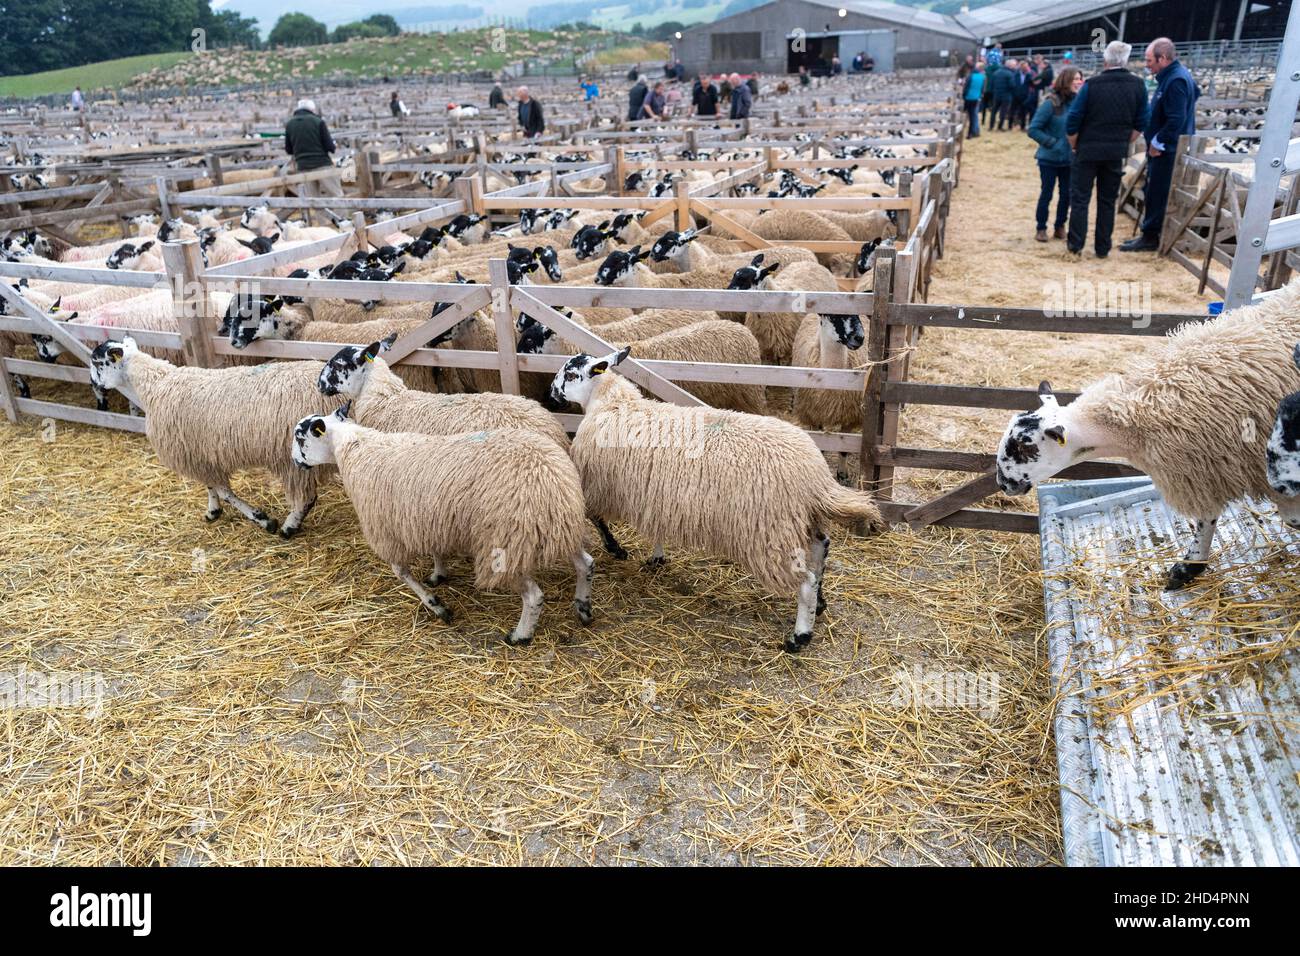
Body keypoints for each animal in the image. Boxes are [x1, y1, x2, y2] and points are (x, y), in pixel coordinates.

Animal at [87, 338, 345, 537]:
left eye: (98, 363)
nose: (93, 383)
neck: (155, 385)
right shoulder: (199, 455)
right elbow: (211, 486)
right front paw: (213, 510)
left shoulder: (194, 455)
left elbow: (225, 492)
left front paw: (263, 519)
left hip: (296, 457)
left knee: (306, 498)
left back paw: (289, 527)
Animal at [290, 406, 594, 645]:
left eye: (300, 438)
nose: (294, 461)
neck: (355, 447)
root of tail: (552, 478)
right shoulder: (427, 518)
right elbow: (436, 550)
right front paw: (439, 575)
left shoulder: (386, 530)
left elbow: (401, 573)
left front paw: (437, 606)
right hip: (559, 526)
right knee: (586, 563)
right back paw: (583, 608)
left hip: (505, 541)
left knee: (533, 596)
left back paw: (520, 636)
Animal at [550, 348, 882, 652]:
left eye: (570, 374)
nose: (551, 394)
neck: (613, 404)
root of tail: (814, 473)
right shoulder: (656, 494)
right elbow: (655, 527)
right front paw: (656, 557)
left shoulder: (597, 484)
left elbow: (596, 518)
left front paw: (616, 548)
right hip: (799, 516)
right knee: (821, 548)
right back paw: (820, 605)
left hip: (770, 530)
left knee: (805, 581)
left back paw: (799, 637)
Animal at [993, 284, 1300, 591]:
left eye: (1024, 446)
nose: (1002, 484)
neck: (1135, 420)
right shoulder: (1201, 469)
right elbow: (1206, 518)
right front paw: (1188, 568)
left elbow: (1290, 518)